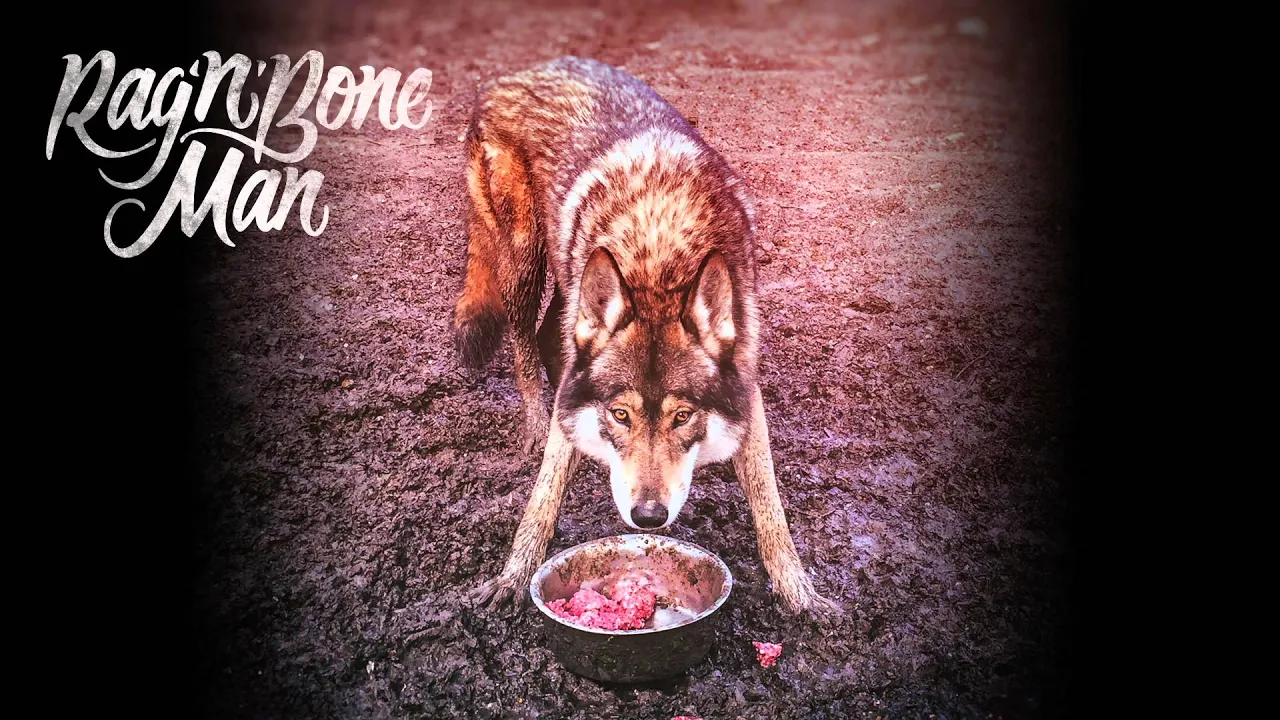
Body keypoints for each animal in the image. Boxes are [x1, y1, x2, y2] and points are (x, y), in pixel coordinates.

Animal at [453, 57, 836, 614]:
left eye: (683, 417)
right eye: (620, 415)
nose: (649, 517)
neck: (659, 264)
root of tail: (514, 73)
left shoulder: (747, 383)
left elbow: (771, 508)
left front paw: (800, 594)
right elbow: (543, 498)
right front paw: (512, 577)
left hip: (567, 283)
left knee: (551, 336)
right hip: (523, 260)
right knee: (523, 342)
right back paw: (535, 422)